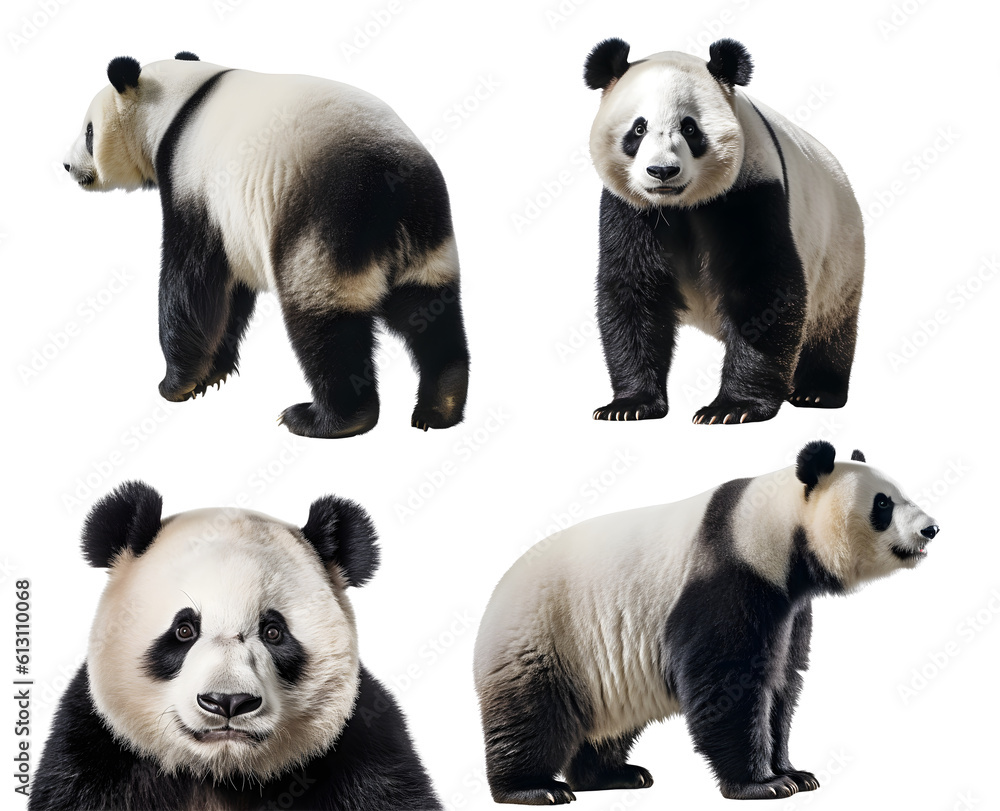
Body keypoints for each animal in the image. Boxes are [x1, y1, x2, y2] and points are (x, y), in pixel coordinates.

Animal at [30, 482, 442, 810]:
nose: (228, 702)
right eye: (184, 630)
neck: (223, 774)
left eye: (274, 632)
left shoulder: (365, 756)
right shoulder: (94, 760)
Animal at [63, 52, 469, 438]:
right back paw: (440, 405)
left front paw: (176, 384)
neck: (179, 107)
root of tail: (393, 190)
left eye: (89, 132)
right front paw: (213, 374)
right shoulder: (237, 222)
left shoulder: (197, 181)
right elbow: (229, 290)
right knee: (428, 310)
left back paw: (328, 419)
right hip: (427, 228)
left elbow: (191, 281)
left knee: (325, 326)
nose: (67, 166)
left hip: (324, 221)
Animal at [473, 441, 939, 804]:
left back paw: (613, 775)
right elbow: (727, 679)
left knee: (608, 724)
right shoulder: (730, 573)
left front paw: (794, 773)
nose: (931, 529)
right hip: (547, 634)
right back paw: (533, 788)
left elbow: (783, 681)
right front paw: (762, 784)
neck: (776, 524)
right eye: (883, 503)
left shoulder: (791, 607)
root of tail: (494, 595)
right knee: (532, 714)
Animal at [584, 39, 864, 425]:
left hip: (838, 250)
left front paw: (733, 408)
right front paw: (629, 405)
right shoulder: (630, 207)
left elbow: (763, 289)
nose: (662, 171)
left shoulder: (751, 188)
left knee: (830, 322)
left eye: (690, 129)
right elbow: (633, 287)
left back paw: (816, 391)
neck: (680, 204)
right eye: (638, 129)